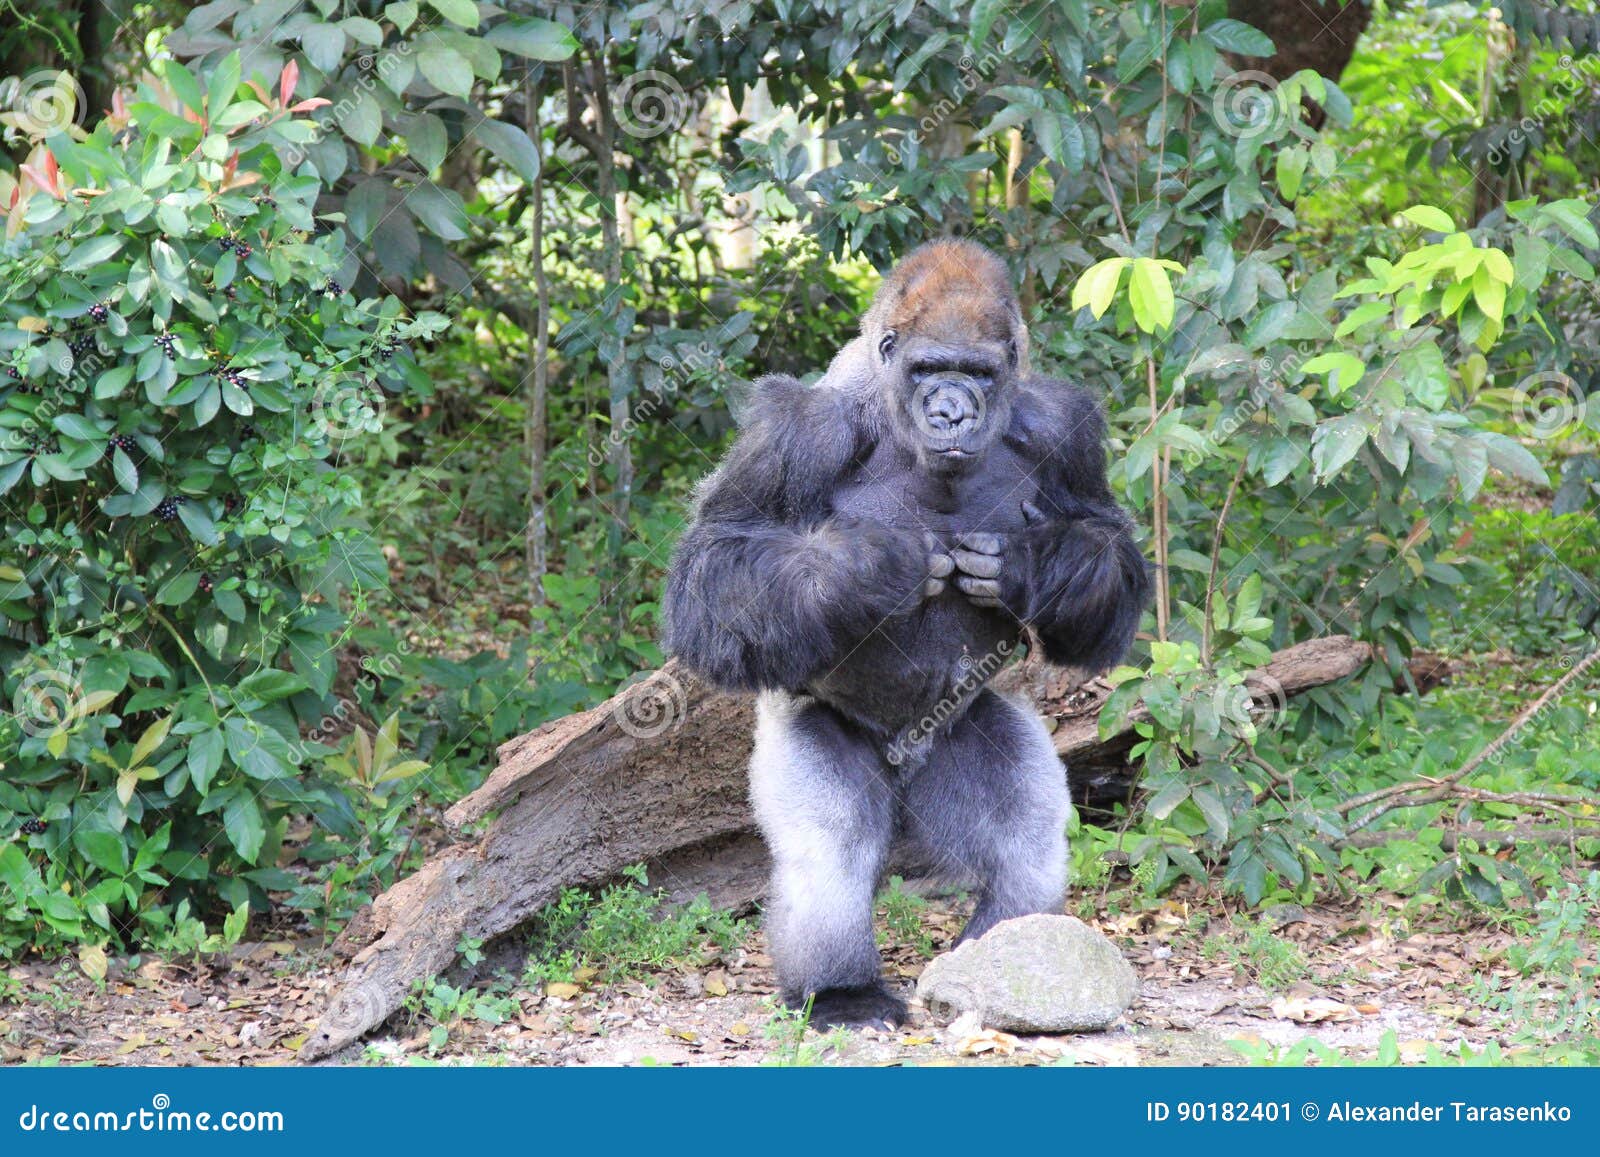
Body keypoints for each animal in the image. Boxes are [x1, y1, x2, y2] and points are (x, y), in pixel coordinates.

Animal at [663, 239, 1149, 1029]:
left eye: (977, 373)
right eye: (927, 370)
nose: (950, 412)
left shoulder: (1063, 426)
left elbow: (1104, 539)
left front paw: (1033, 563)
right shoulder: (798, 428)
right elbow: (717, 557)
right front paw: (866, 569)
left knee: (1028, 846)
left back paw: (1000, 960)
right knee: (829, 847)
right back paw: (842, 992)